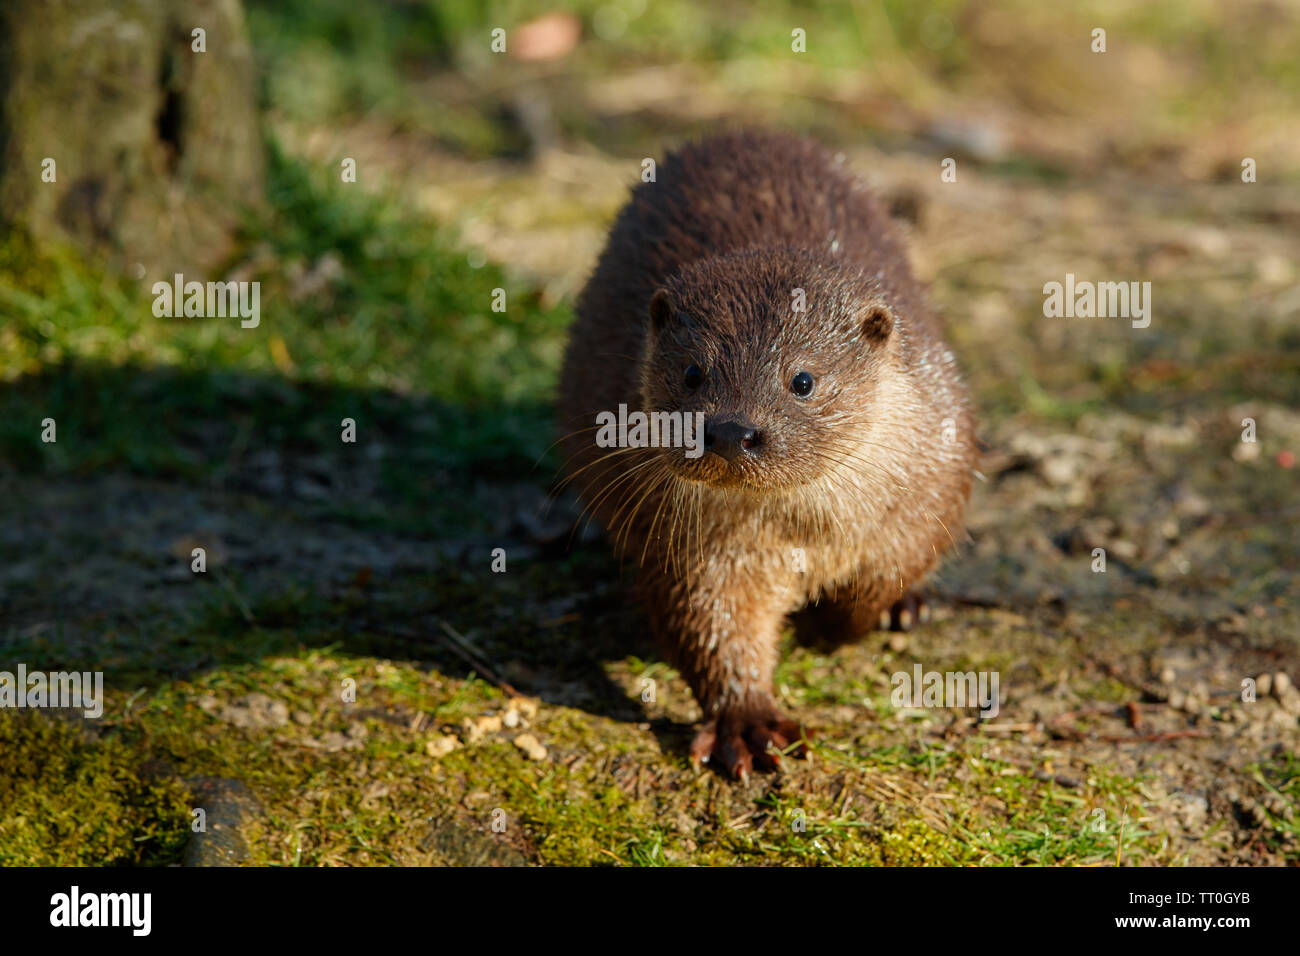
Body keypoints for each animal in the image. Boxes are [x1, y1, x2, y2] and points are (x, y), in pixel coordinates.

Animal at [556, 130, 976, 777]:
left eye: (802, 379)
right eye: (693, 373)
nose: (731, 431)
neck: (806, 536)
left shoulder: (929, 489)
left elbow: (883, 580)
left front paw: (837, 624)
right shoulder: (690, 543)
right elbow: (710, 624)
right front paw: (748, 723)